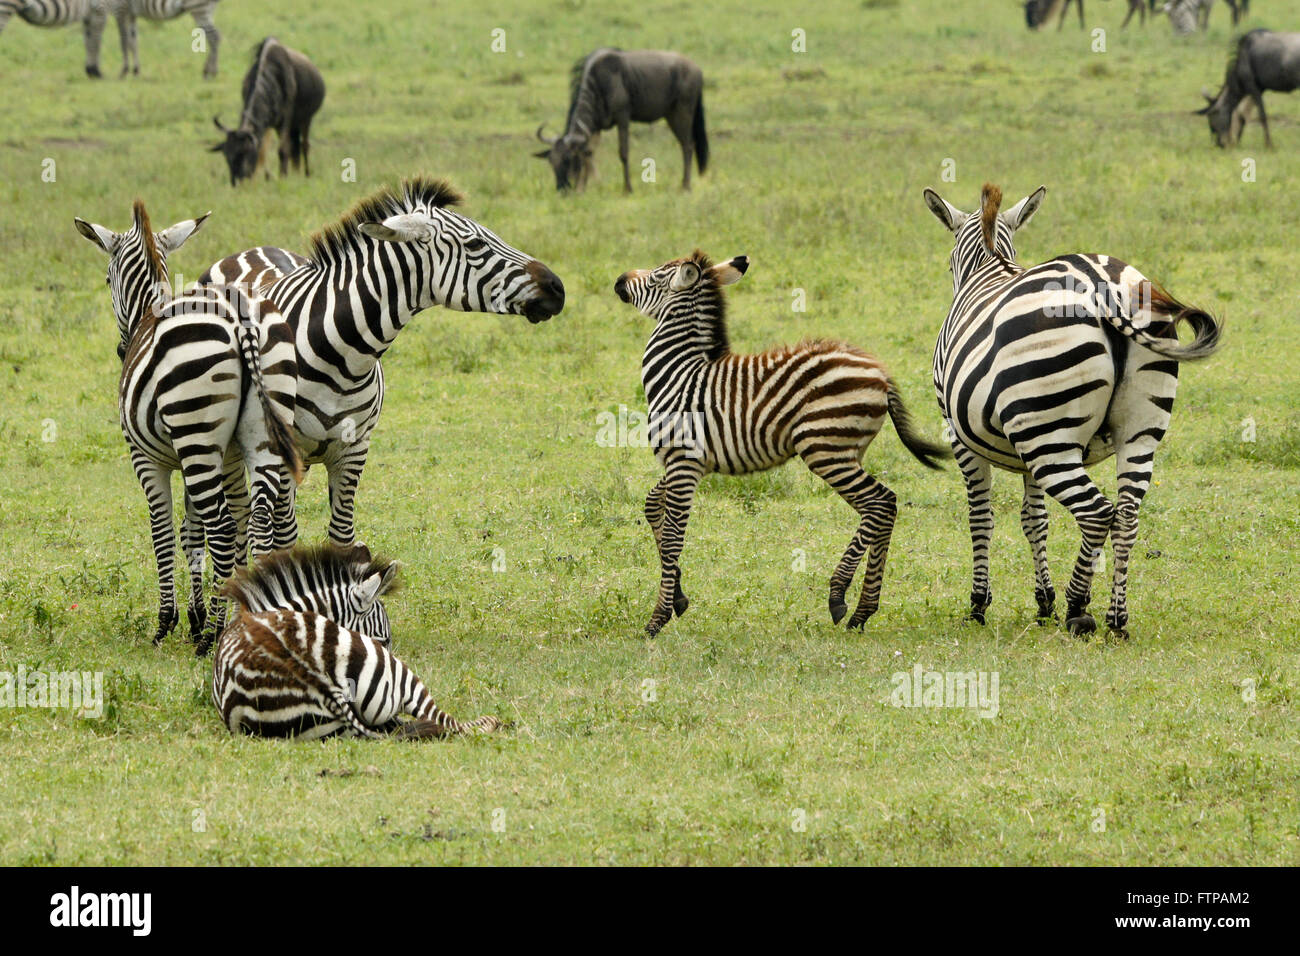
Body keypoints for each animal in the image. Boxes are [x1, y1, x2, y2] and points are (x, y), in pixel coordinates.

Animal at [75, 200, 302, 651]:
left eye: (107, 278)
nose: (123, 350)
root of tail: (241, 316)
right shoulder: (214, 456)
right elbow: (191, 532)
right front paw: (198, 616)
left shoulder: (148, 458)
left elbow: (163, 530)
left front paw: (170, 622)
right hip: (260, 434)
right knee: (259, 522)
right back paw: (259, 617)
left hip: (196, 433)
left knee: (224, 527)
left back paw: (211, 638)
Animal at [200, 177, 566, 547]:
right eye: (475, 244)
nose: (558, 287)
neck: (339, 358)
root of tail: (249, 251)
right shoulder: (283, 451)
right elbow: (285, 535)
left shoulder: (355, 449)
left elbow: (341, 533)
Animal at [614, 251, 950, 638]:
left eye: (655, 277)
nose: (619, 281)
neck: (680, 374)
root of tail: (879, 372)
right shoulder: (684, 463)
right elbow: (652, 506)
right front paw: (679, 598)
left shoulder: (684, 461)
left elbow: (672, 535)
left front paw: (657, 618)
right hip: (847, 451)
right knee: (885, 506)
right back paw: (862, 611)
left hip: (825, 450)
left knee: (880, 503)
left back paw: (839, 596)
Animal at [922, 182, 1221, 638]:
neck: (989, 268)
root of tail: (1102, 285)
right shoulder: (1022, 447)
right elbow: (1034, 519)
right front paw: (1042, 601)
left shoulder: (960, 437)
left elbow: (981, 517)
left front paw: (979, 605)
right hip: (1134, 431)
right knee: (1126, 515)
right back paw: (1116, 619)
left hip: (1049, 437)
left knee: (1097, 513)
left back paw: (1079, 607)